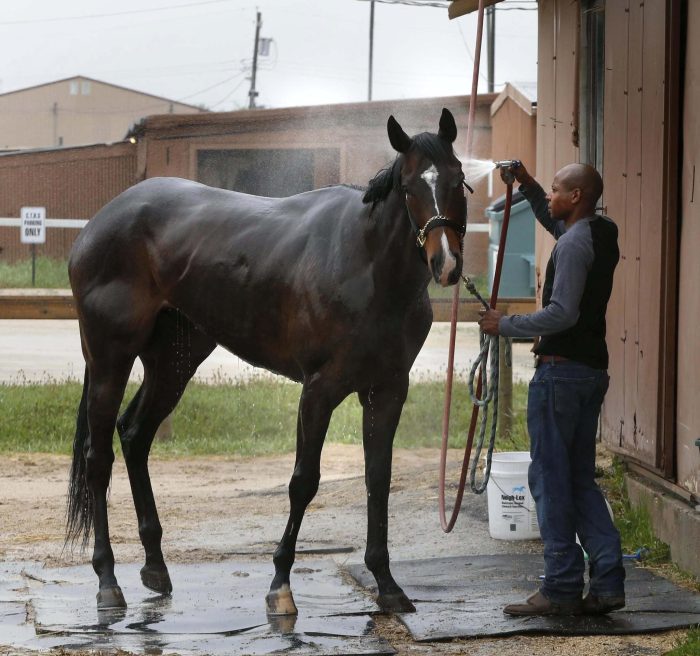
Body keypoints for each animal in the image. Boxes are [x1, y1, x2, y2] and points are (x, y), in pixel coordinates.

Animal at [66, 108, 469, 615]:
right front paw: (280, 585)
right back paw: (107, 580)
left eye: (458, 179)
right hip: (109, 358)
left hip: (174, 363)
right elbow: (304, 482)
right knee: (98, 458)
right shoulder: (319, 390)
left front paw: (387, 584)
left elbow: (379, 479)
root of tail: (98, 223)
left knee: (135, 436)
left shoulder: (387, 390)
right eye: (411, 185)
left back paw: (156, 567)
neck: (366, 265)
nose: (446, 263)